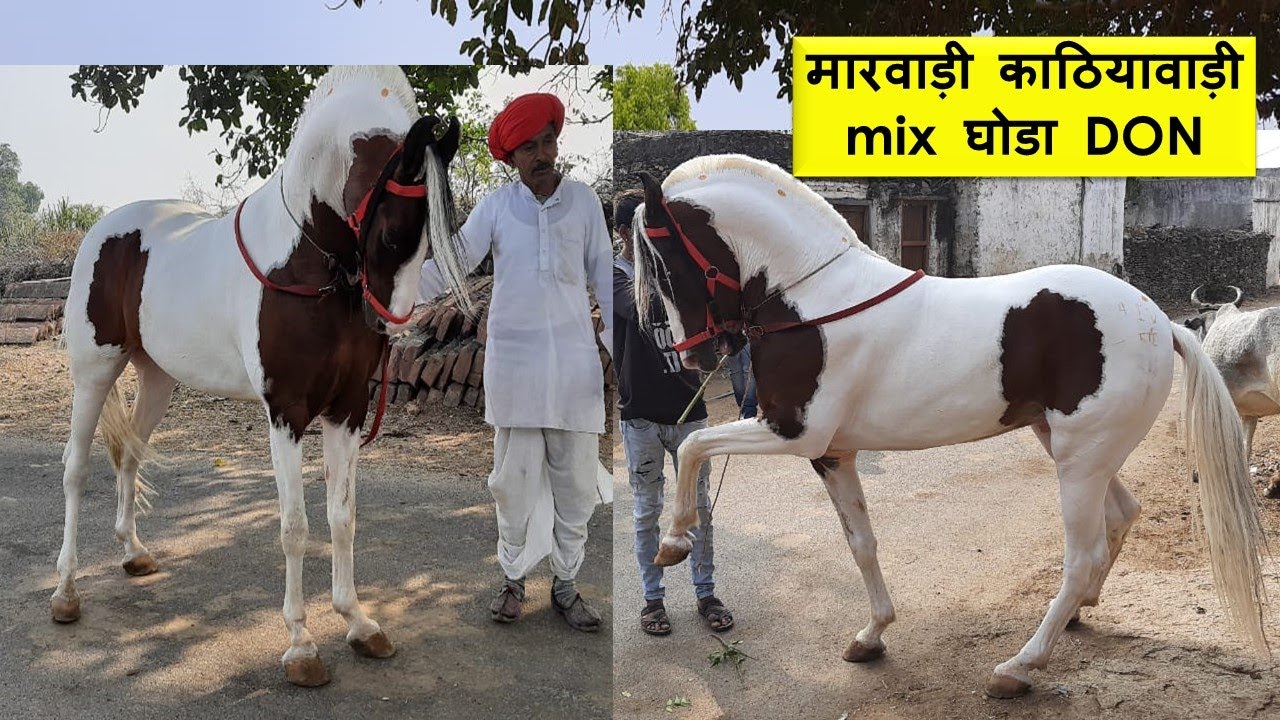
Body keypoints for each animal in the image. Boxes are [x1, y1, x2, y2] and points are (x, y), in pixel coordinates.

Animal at [53, 66, 472, 687]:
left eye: (431, 240)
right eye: (395, 234)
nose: (384, 325)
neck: (303, 264)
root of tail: (105, 228)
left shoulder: (347, 410)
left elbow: (342, 518)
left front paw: (358, 622)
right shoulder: (286, 413)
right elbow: (295, 526)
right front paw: (301, 645)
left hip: (157, 377)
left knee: (130, 454)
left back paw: (133, 553)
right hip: (95, 371)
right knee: (76, 469)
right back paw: (65, 591)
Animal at [630, 155, 1268, 698]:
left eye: (662, 263)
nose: (693, 356)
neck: (814, 304)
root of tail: (1161, 322)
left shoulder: (791, 433)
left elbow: (693, 443)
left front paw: (674, 541)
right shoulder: (832, 453)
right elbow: (861, 543)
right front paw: (872, 635)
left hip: (1080, 460)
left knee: (1081, 554)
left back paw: (1019, 666)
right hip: (1072, 448)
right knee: (1122, 515)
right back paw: (1078, 614)